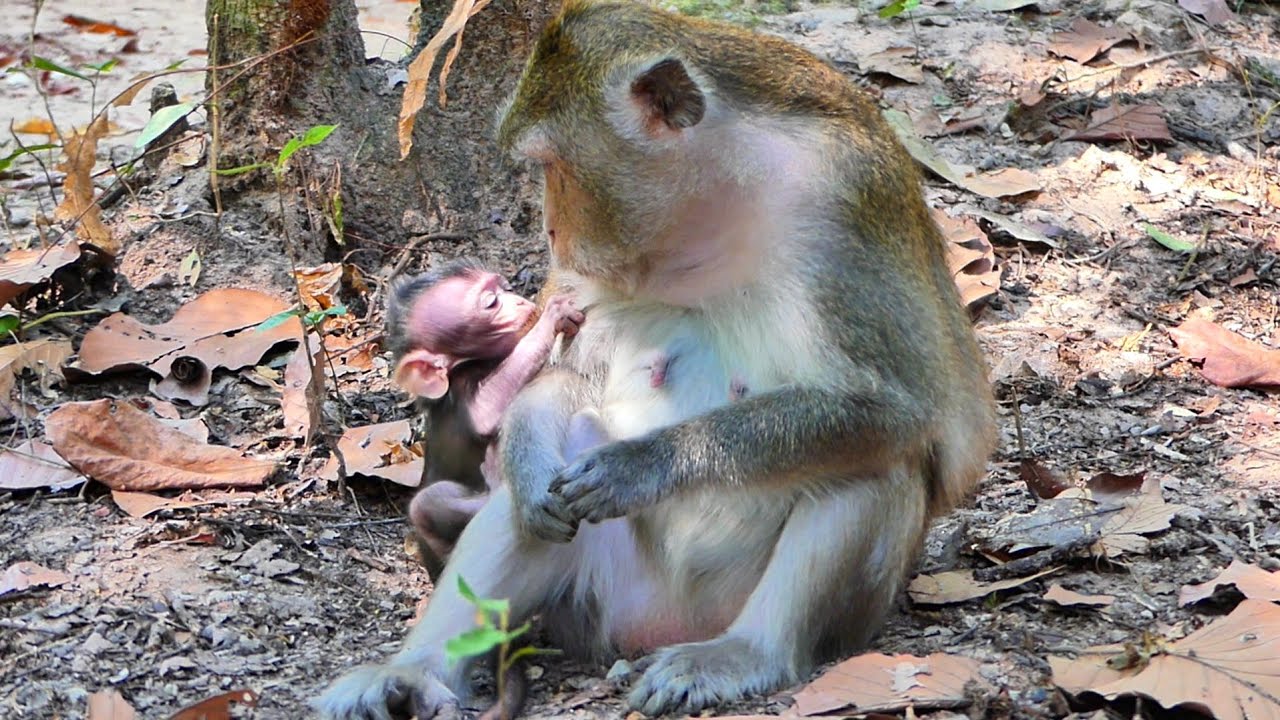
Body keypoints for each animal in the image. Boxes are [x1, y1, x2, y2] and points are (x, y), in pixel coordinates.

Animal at [317, 2, 995, 719]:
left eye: (552, 163)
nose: (552, 229)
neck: (727, 197)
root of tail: (663, 625)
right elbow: (566, 380)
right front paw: (531, 461)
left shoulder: (848, 201)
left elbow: (904, 409)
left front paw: (643, 465)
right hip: (597, 598)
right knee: (549, 476)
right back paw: (412, 671)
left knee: (871, 463)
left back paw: (744, 653)